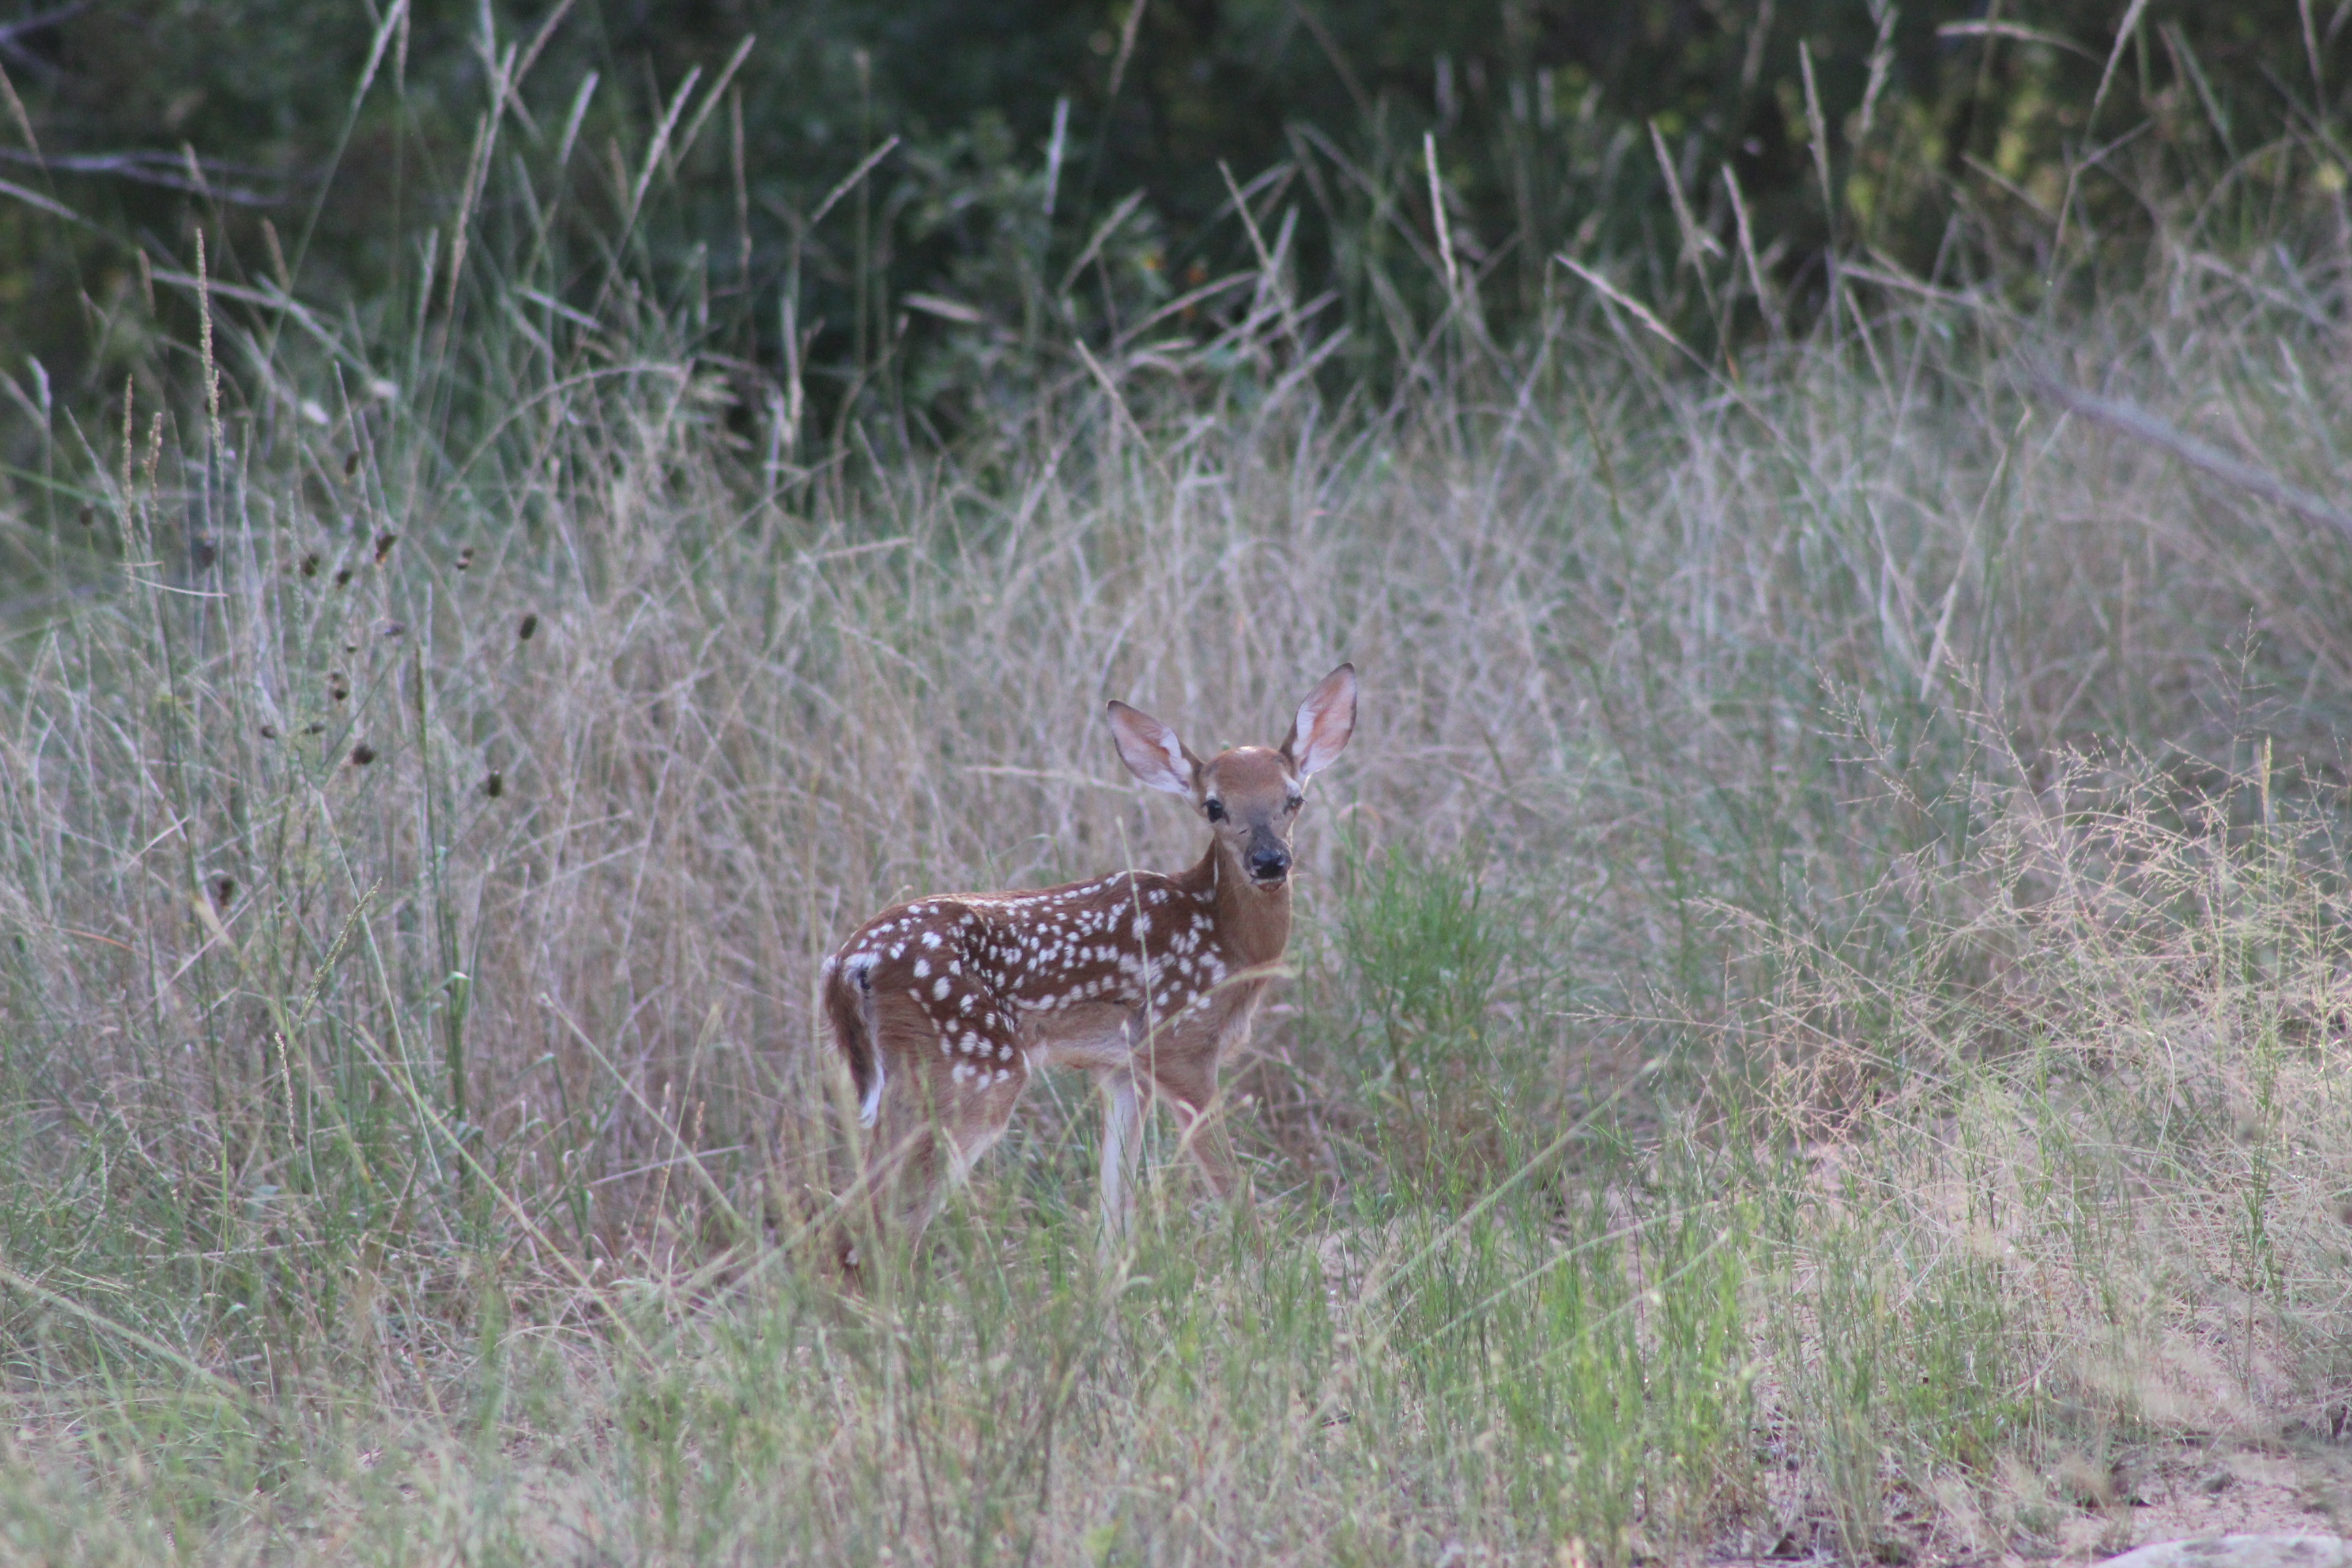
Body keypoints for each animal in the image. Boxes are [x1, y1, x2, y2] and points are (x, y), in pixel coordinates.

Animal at [821, 664, 1358, 1275]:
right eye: (1214, 806)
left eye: (1294, 798)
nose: (1270, 861)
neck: (1226, 938)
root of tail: (850, 961)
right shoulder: (1179, 1040)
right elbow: (1231, 1185)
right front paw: (1266, 1275)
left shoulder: (1120, 1067)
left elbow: (1112, 1212)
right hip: (971, 1067)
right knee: (876, 1231)